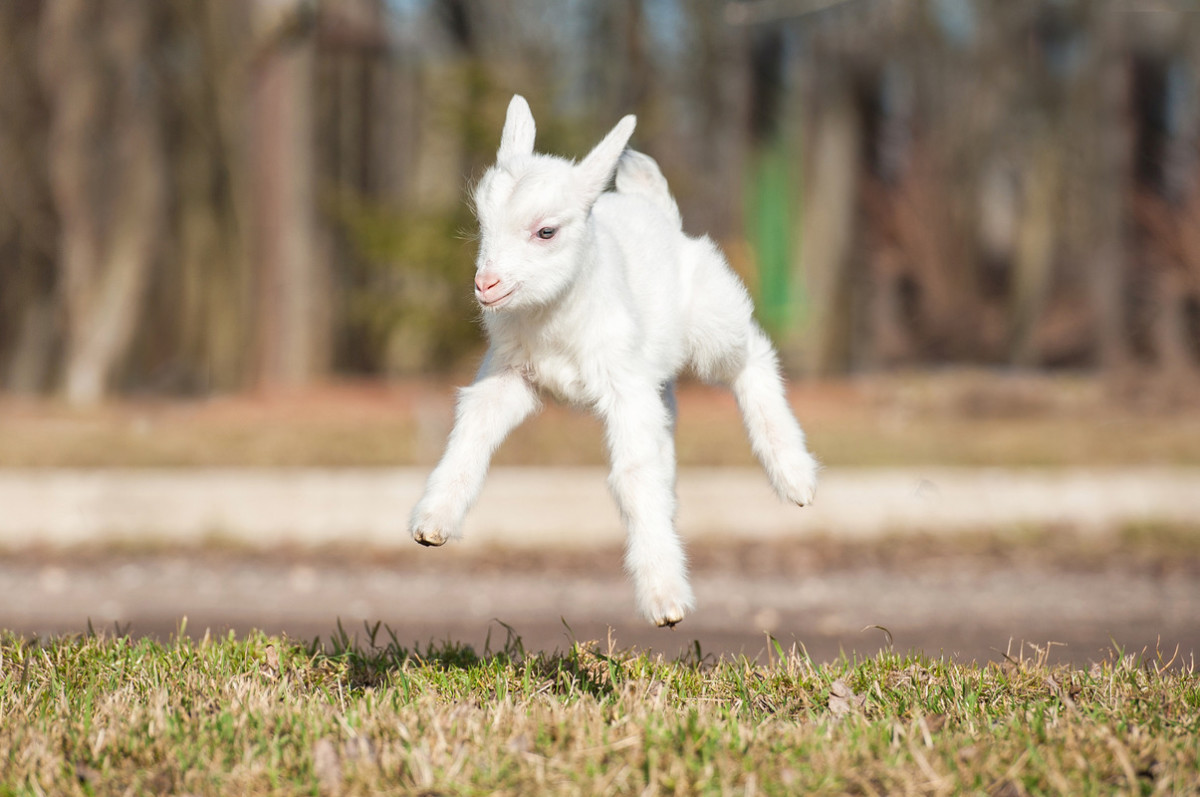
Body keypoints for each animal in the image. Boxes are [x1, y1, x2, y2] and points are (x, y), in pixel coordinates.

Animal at [410, 95, 818, 627]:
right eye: (482, 224)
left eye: (546, 231)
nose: (486, 284)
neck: (554, 321)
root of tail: (657, 210)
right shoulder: (508, 376)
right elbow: (471, 433)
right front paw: (433, 521)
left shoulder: (622, 387)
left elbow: (631, 476)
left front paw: (665, 601)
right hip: (656, 376)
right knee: (668, 424)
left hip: (712, 322)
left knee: (753, 355)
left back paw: (794, 476)